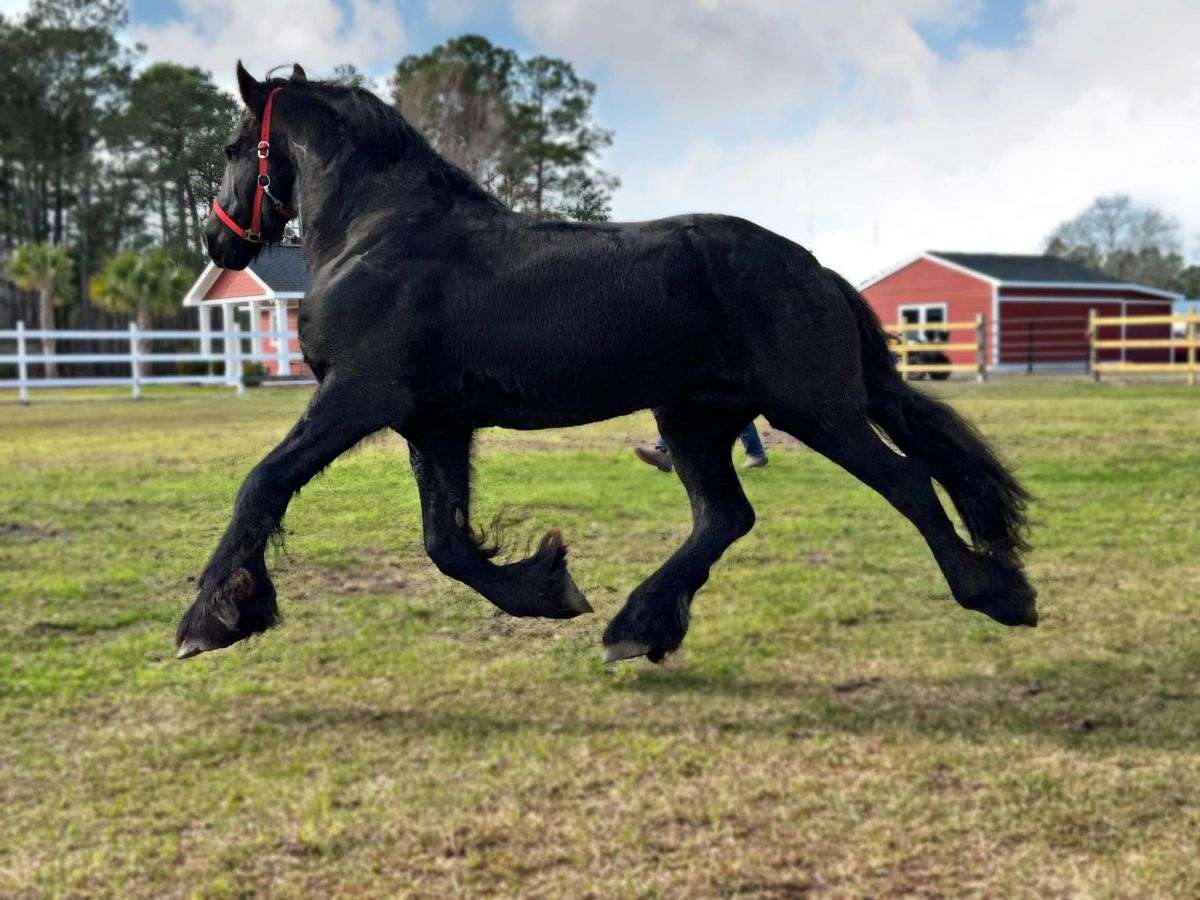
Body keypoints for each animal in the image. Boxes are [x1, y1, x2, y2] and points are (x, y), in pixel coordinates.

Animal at [176, 62, 1037, 663]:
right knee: (725, 516)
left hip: (816, 411)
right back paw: (639, 628)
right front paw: (549, 587)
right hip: (694, 418)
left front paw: (210, 619)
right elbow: (447, 545)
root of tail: (816, 270)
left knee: (907, 482)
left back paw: (998, 593)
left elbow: (263, 483)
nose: (219, 239)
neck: (381, 233)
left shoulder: (358, 398)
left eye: (231, 147)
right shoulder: (435, 425)